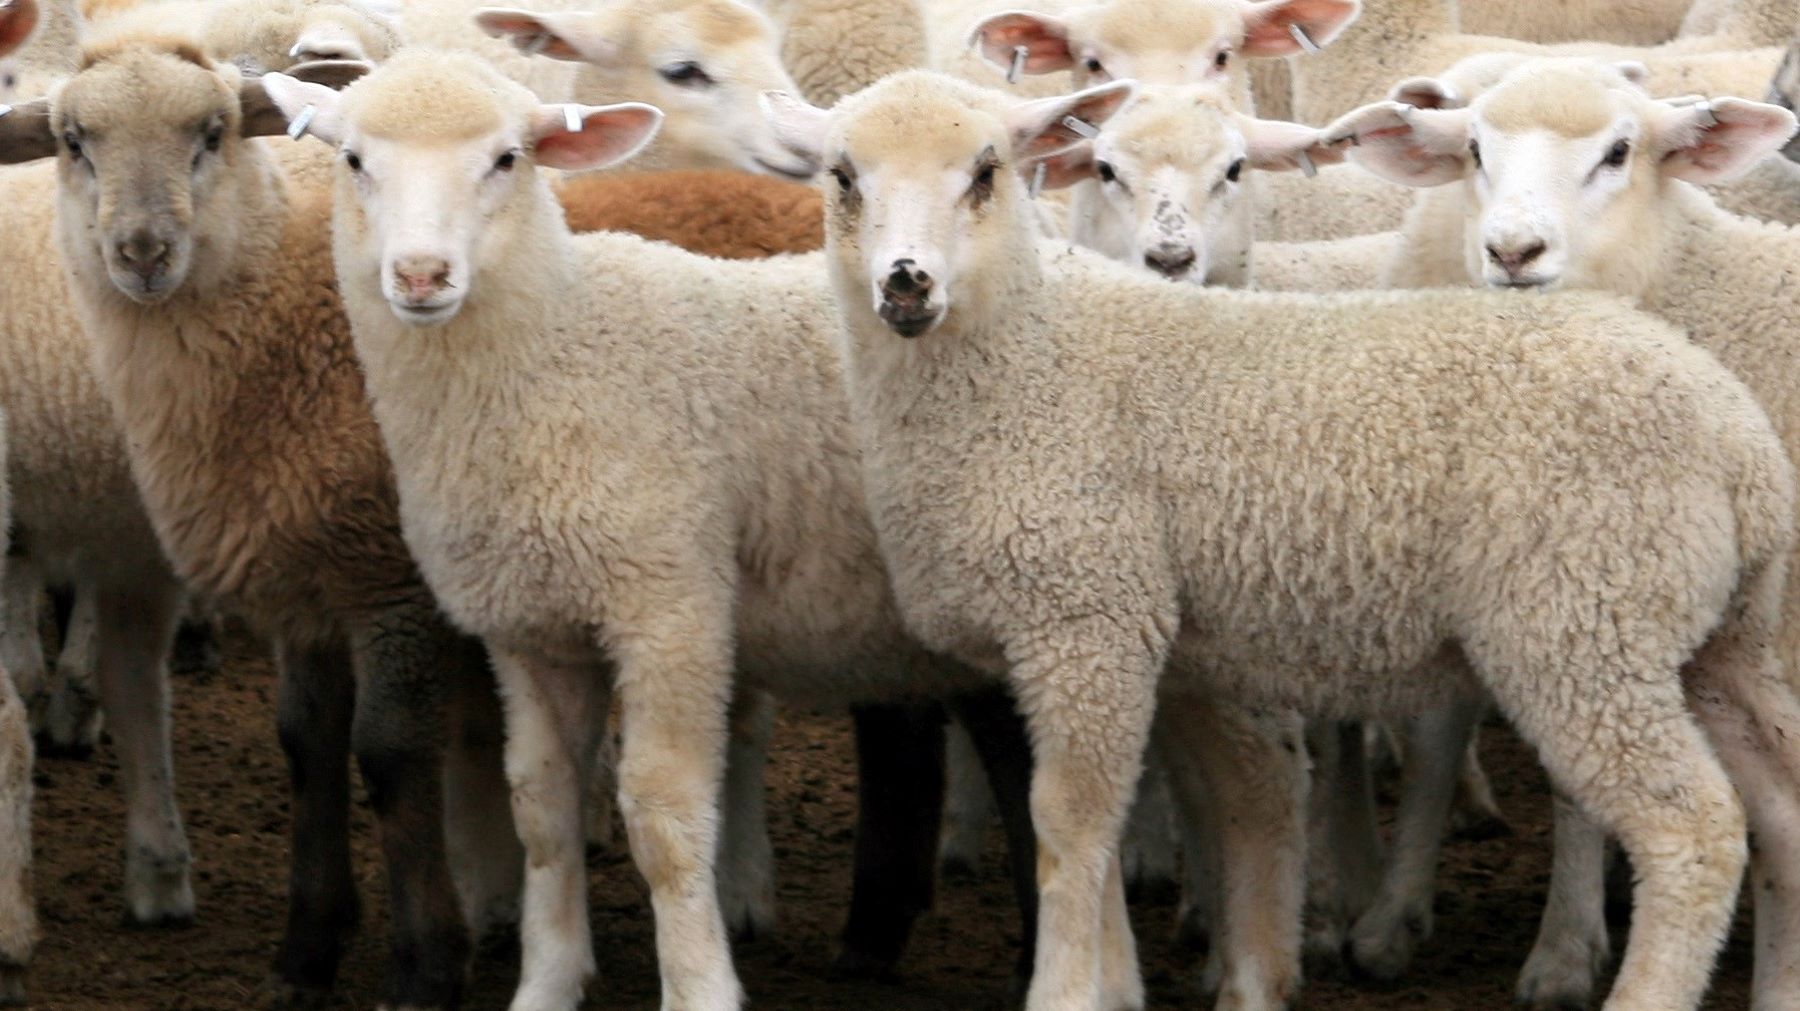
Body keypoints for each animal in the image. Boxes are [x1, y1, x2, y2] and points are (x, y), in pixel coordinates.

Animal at [0, 41, 531, 1010]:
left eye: (212, 133)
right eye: (73, 142)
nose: (142, 251)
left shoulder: (395, 583)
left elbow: (388, 754)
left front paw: (425, 965)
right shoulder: (302, 582)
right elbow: (307, 744)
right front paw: (309, 948)